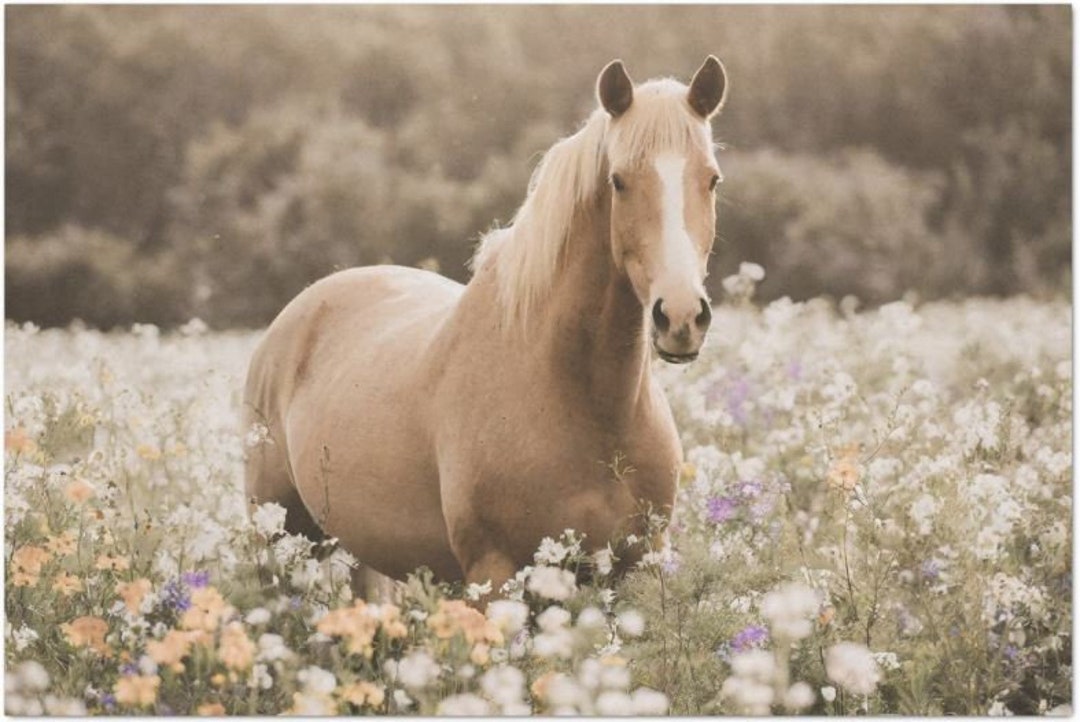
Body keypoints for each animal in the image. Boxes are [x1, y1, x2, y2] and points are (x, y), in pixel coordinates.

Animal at [243, 56, 728, 598]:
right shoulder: (495, 572)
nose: (681, 316)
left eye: (711, 179)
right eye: (619, 181)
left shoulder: (635, 569)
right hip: (280, 544)